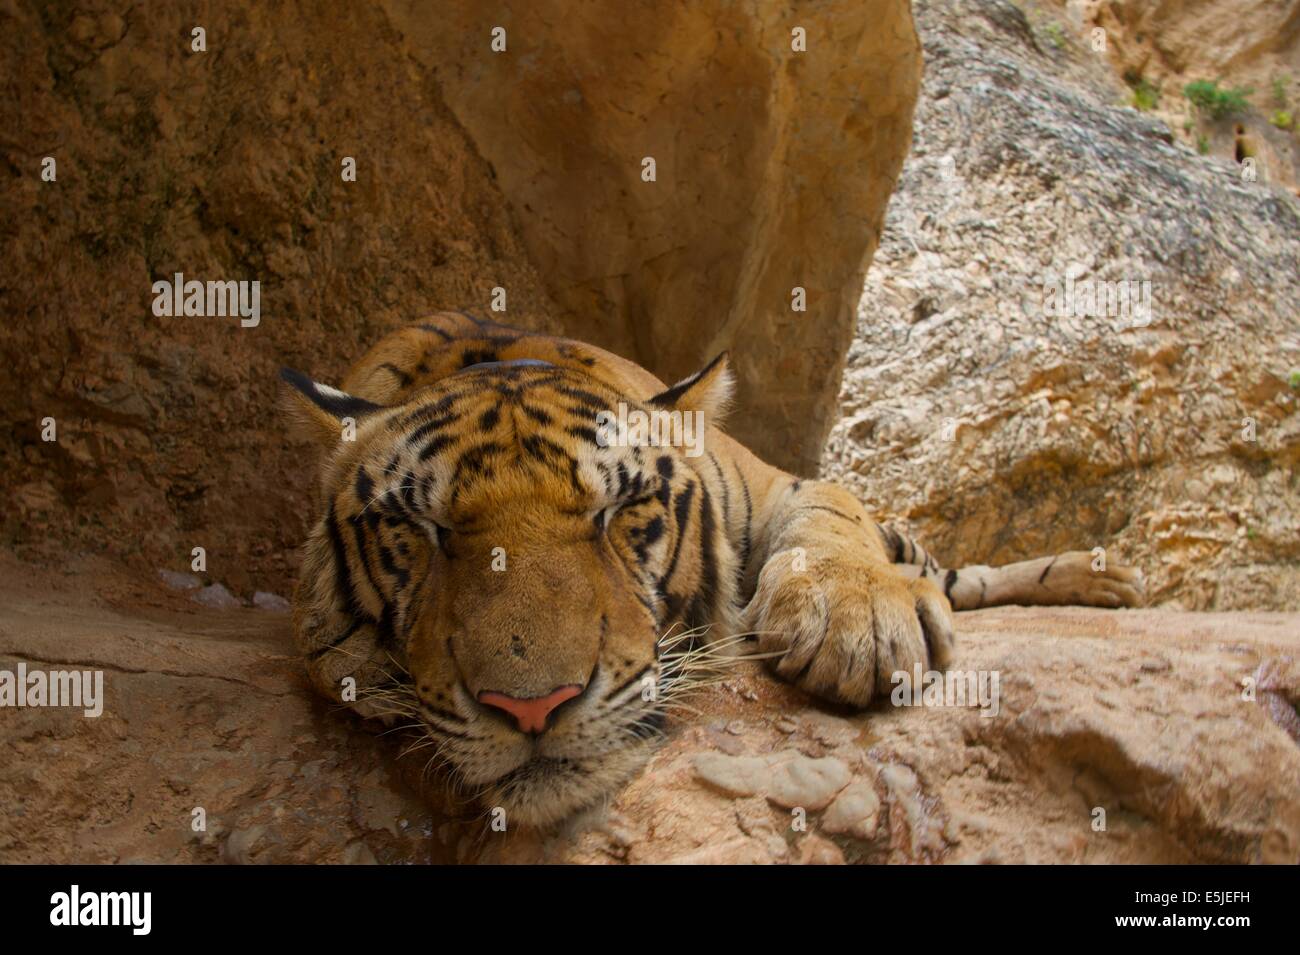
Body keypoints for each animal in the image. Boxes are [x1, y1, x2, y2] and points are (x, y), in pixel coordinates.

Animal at [281, 311, 1144, 828]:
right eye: (417, 530)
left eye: (622, 511)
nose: (532, 708)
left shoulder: (781, 482)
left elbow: (834, 520)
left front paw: (858, 622)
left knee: (952, 569)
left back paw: (1106, 578)